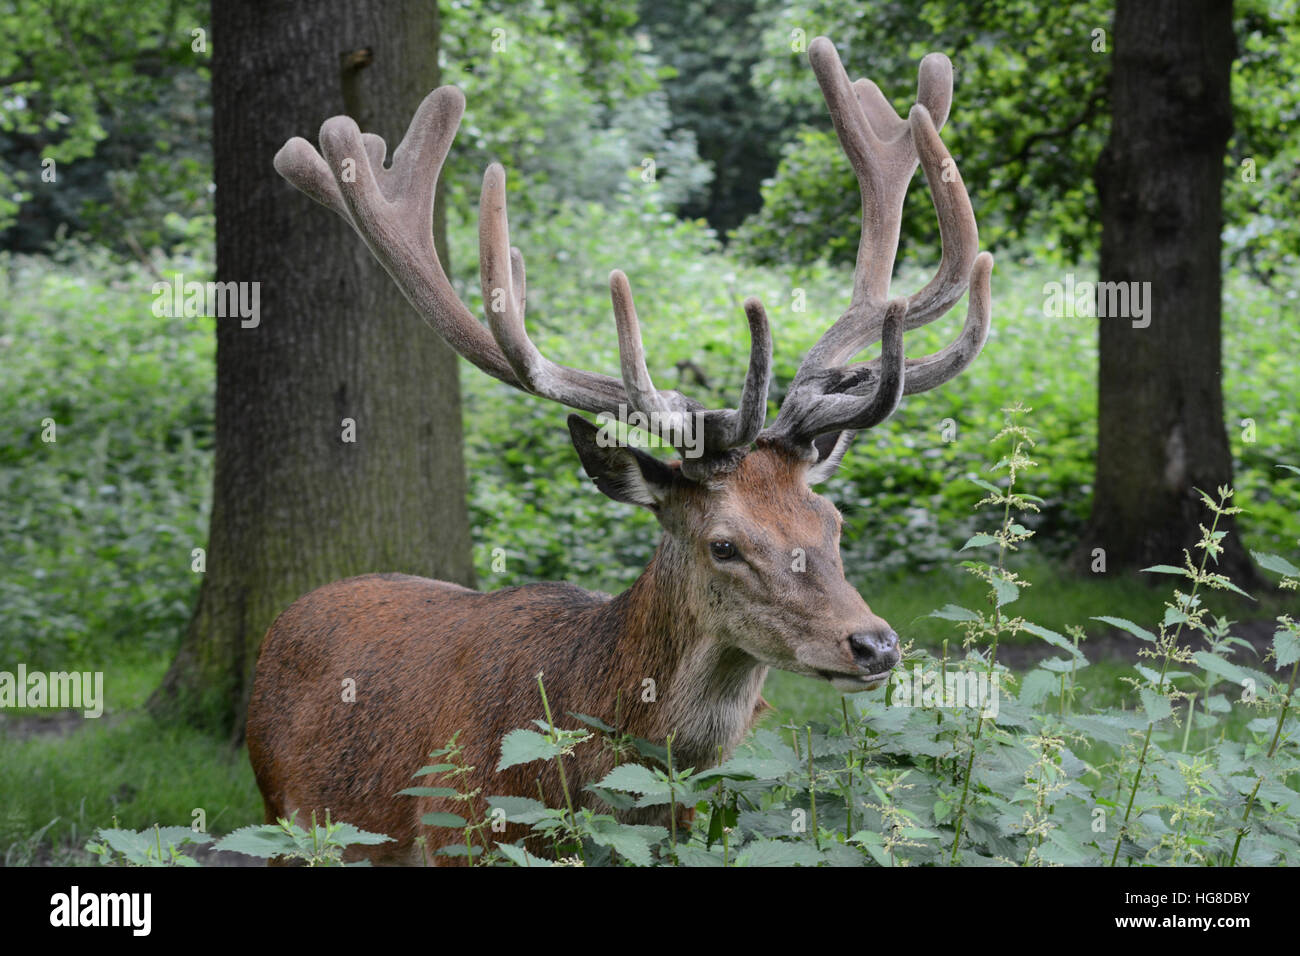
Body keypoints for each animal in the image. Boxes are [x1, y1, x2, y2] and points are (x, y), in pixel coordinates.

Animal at [246, 36, 993, 864]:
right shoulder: (456, 837)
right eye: (724, 544)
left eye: (832, 523)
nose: (873, 644)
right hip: (286, 818)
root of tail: (291, 615)